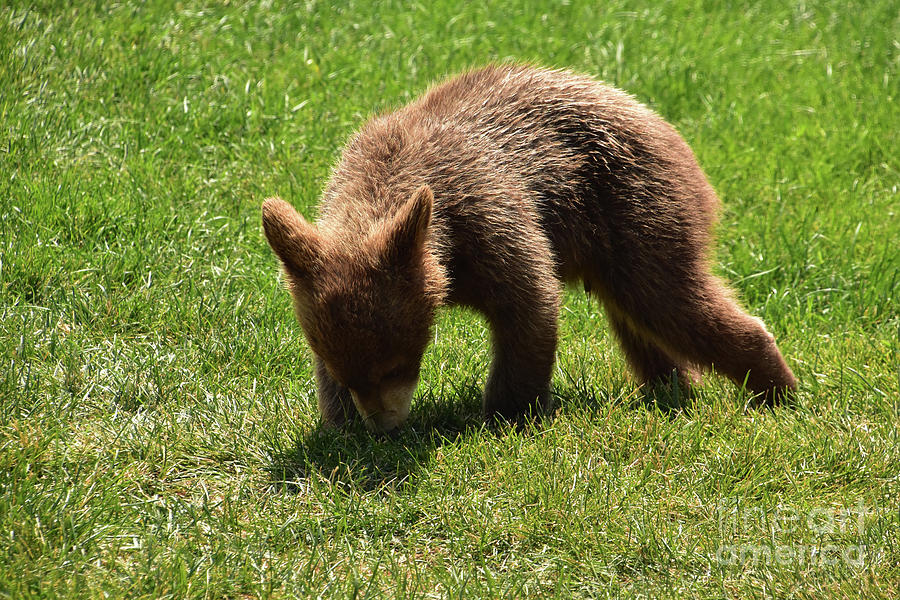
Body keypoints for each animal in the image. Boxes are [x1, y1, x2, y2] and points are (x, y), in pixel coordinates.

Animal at [262, 64, 798, 433]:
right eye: (347, 371)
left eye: (396, 363)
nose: (384, 426)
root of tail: (662, 123)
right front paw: (340, 424)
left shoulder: (489, 212)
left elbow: (527, 304)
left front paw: (505, 413)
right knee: (640, 323)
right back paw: (673, 387)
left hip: (635, 208)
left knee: (669, 301)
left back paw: (777, 391)